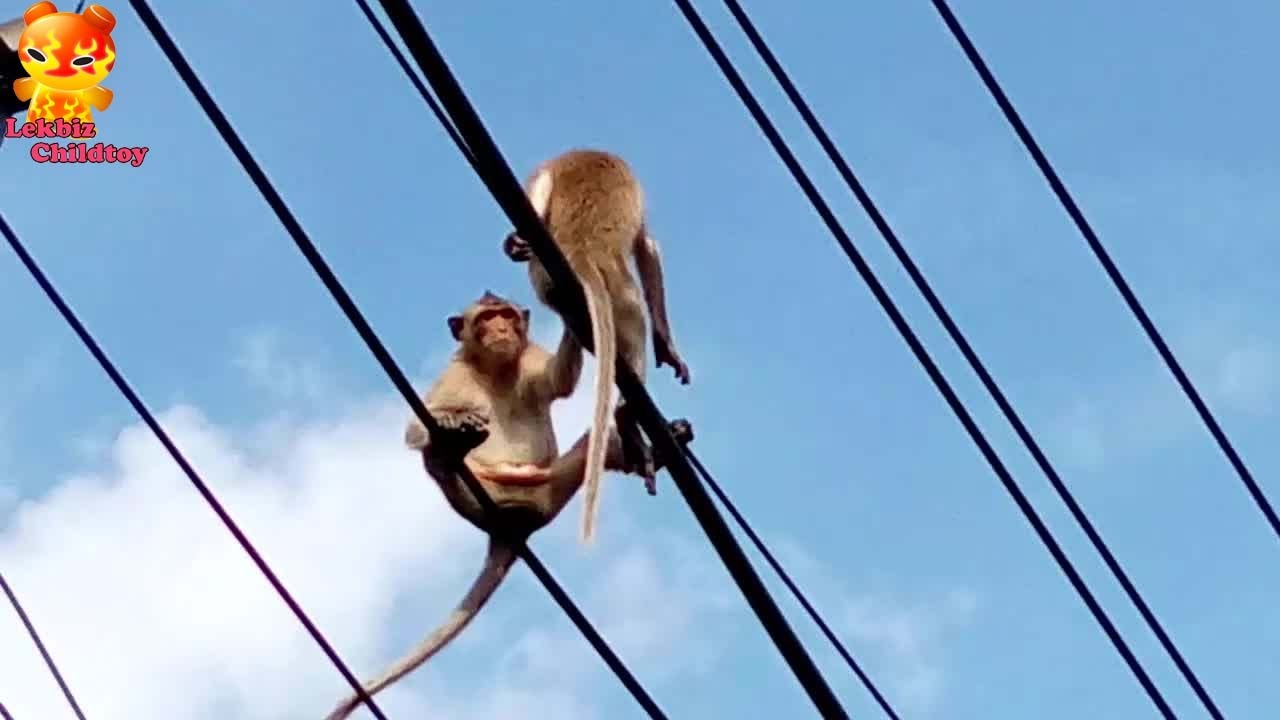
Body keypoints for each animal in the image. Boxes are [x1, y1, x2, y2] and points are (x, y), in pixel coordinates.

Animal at [323, 291, 692, 720]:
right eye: (486, 318)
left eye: (507, 315)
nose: (501, 329)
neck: (496, 369)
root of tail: (515, 525)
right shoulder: (454, 373)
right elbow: (417, 430)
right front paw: (450, 425)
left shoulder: (529, 357)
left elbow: (559, 380)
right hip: (477, 499)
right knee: (435, 458)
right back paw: (453, 450)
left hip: (551, 488)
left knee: (596, 443)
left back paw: (642, 447)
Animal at [502, 148, 691, 545]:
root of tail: (582, 251)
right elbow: (648, 250)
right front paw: (666, 346)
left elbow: (537, 193)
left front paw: (515, 243)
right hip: (623, 294)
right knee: (634, 325)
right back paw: (626, 420)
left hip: (549, 284)